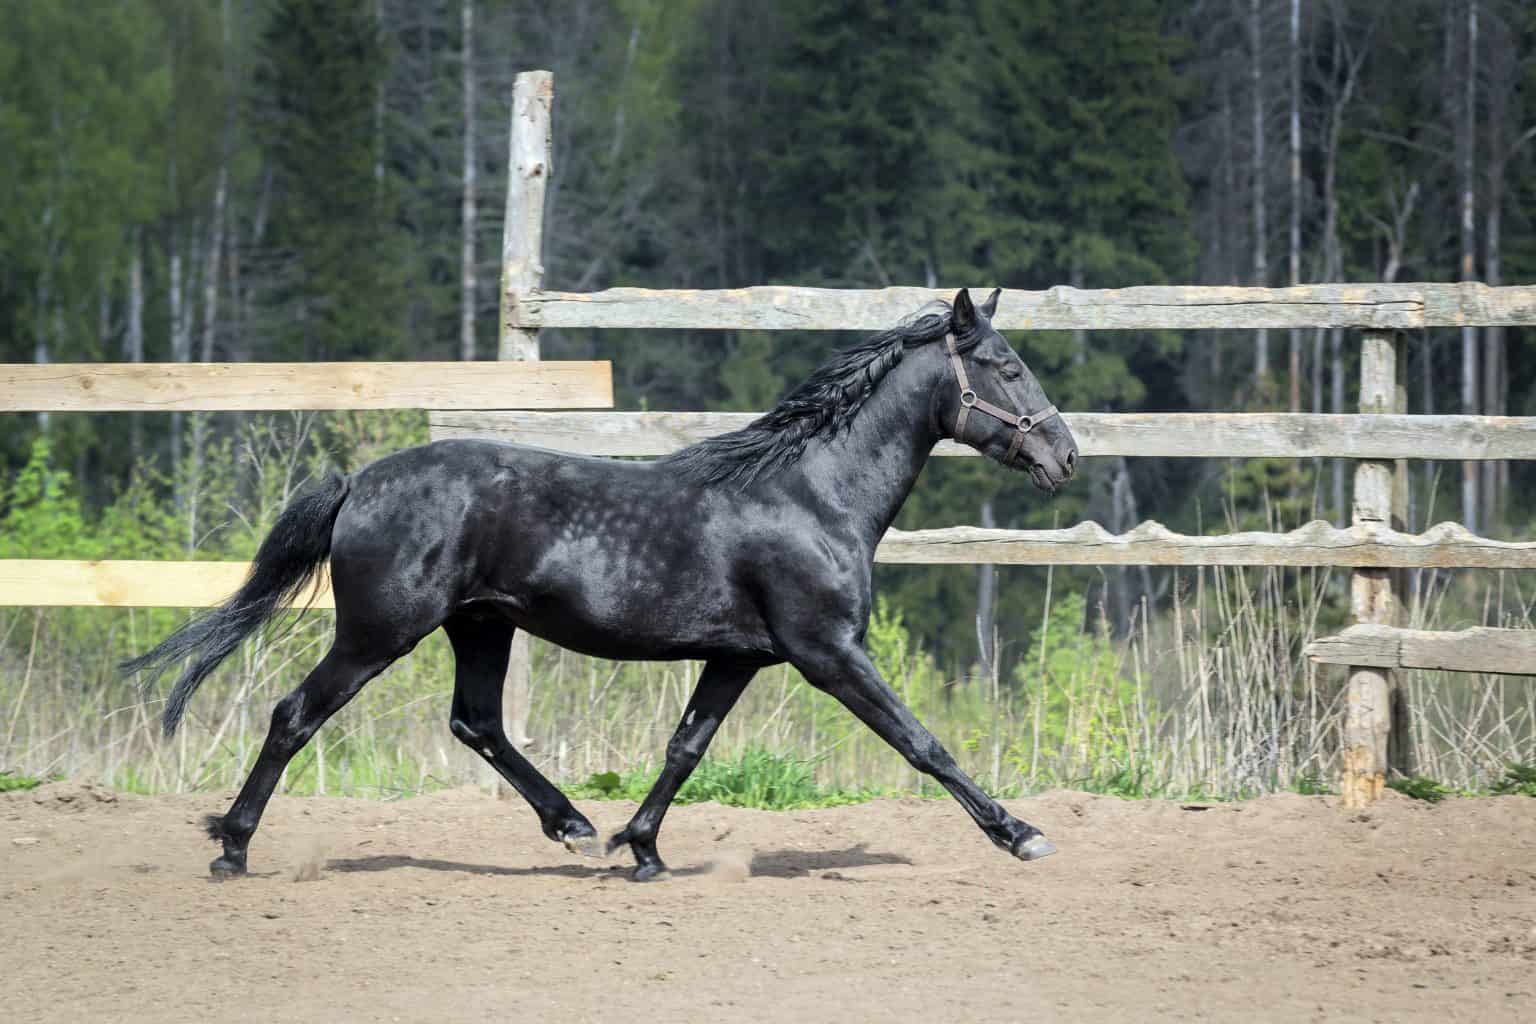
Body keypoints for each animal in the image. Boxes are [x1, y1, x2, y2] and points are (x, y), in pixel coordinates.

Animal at [123, 287, 1078, 881]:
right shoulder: (829, 652)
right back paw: (231, 848)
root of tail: (358, 482)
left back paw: (576, 827)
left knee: (476, 722)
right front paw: (1022, 835)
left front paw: (642, 849)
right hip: (378, 633)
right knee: (294, 716)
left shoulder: (741, 658)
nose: (1065, 455)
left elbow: (685, 748)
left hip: (481, 625)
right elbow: (922, 743)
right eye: (1005, 367)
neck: (811, 494)